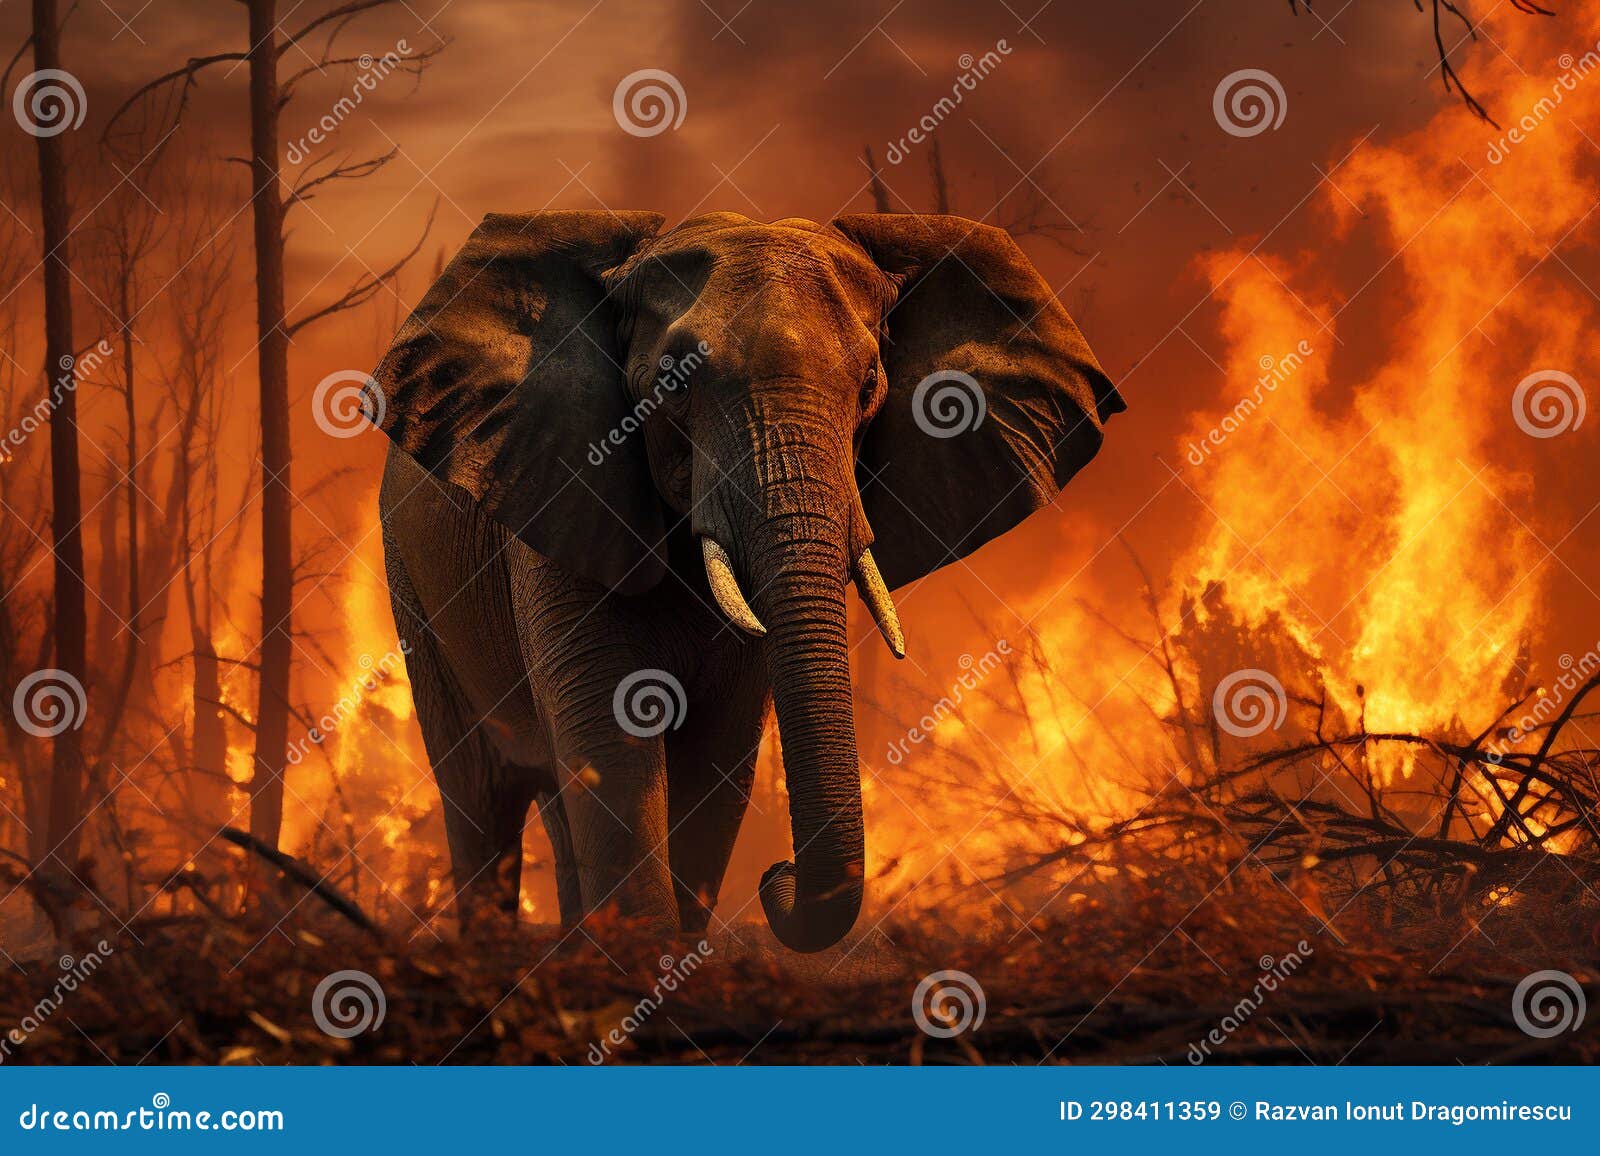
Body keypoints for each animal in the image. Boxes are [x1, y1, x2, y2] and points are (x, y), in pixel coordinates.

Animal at [368, 210, 1123, 952]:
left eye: (870, 387)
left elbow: (716, 762)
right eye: (672, 385)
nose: (776, 876)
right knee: (479, 797)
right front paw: (642, 970)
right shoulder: (563, 488)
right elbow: (613, 737)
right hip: (413, 585)